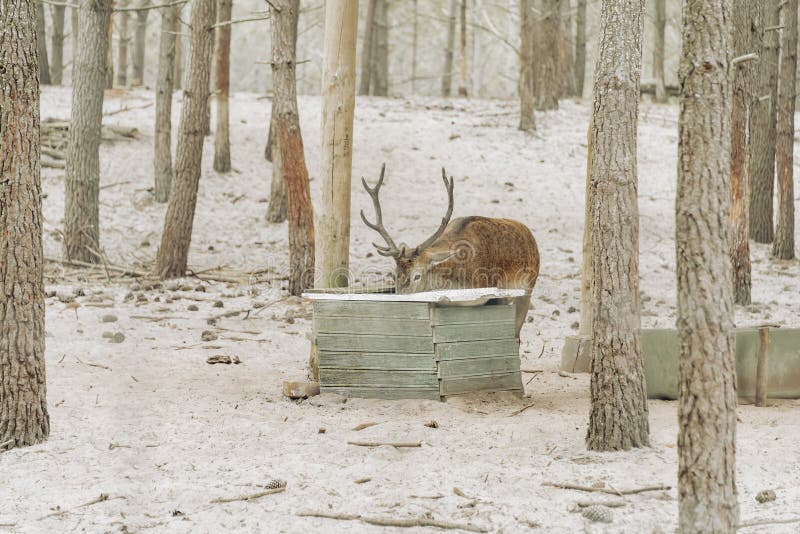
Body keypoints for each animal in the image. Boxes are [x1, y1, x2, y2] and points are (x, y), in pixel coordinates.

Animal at [360, 164, 540, 338]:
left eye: (417, 276)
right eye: (394, 274)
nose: (400, 302)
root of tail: (530, 236)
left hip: (527, 290)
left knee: (517, 335)